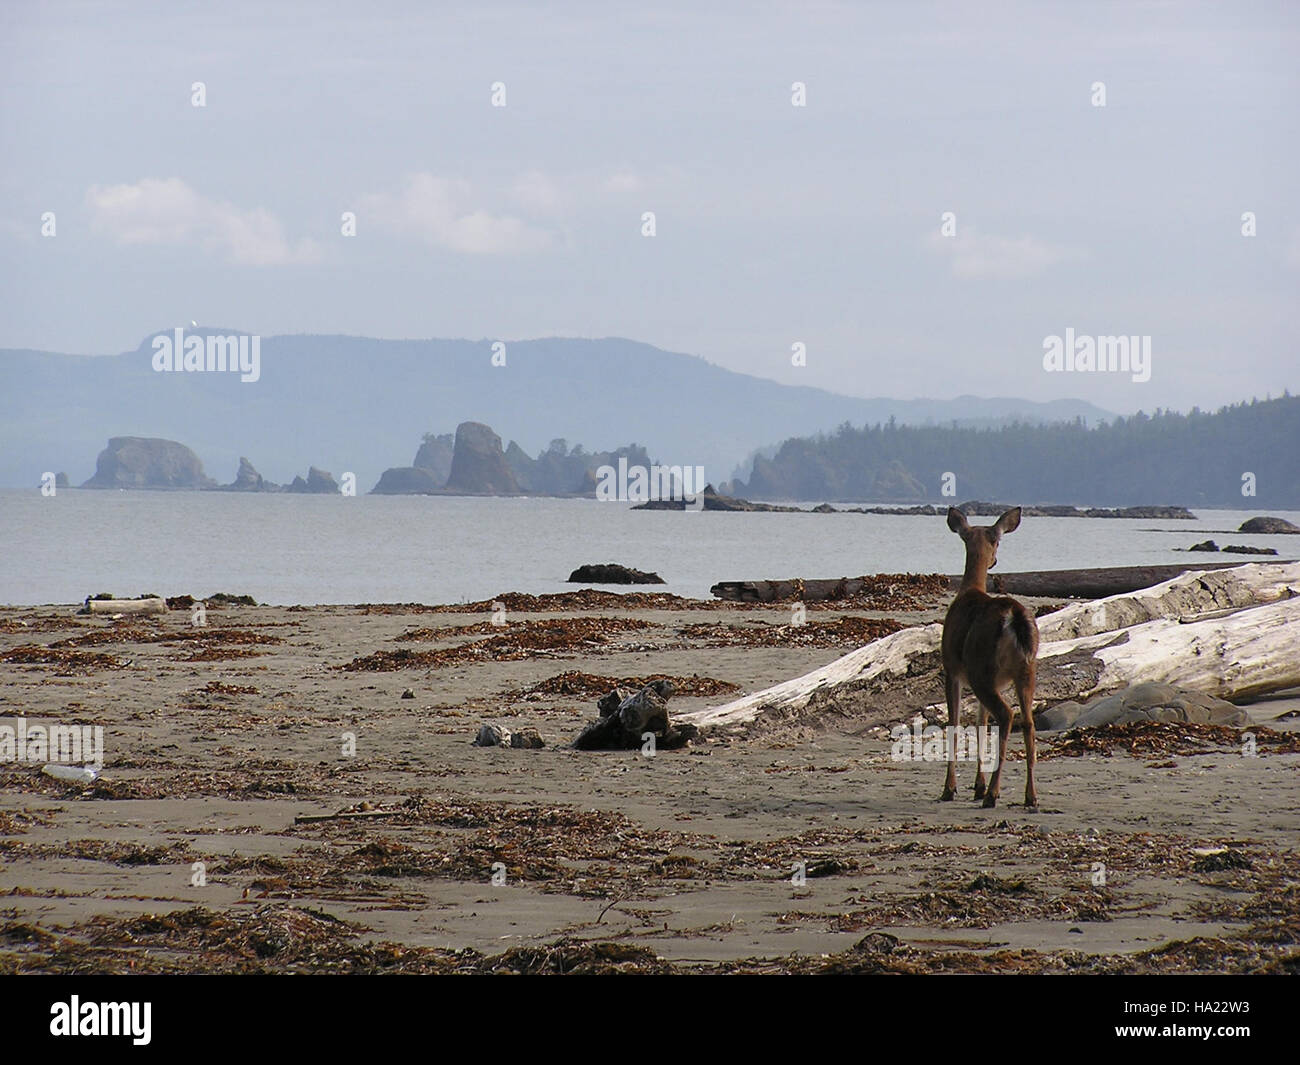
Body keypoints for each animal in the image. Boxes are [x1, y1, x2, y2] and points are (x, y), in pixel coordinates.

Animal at [940, 506, 1039, 809]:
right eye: (995, 540)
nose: (994, 561)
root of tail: (1014, 617)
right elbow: (980, 723)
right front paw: (977, 786)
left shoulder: (951, 668)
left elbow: (955, 723)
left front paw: (951, 789)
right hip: (1025, 670)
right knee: (1028, 722)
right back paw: (1030, 796)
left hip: (980, 668)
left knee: (1006, 715)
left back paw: (994, 795)